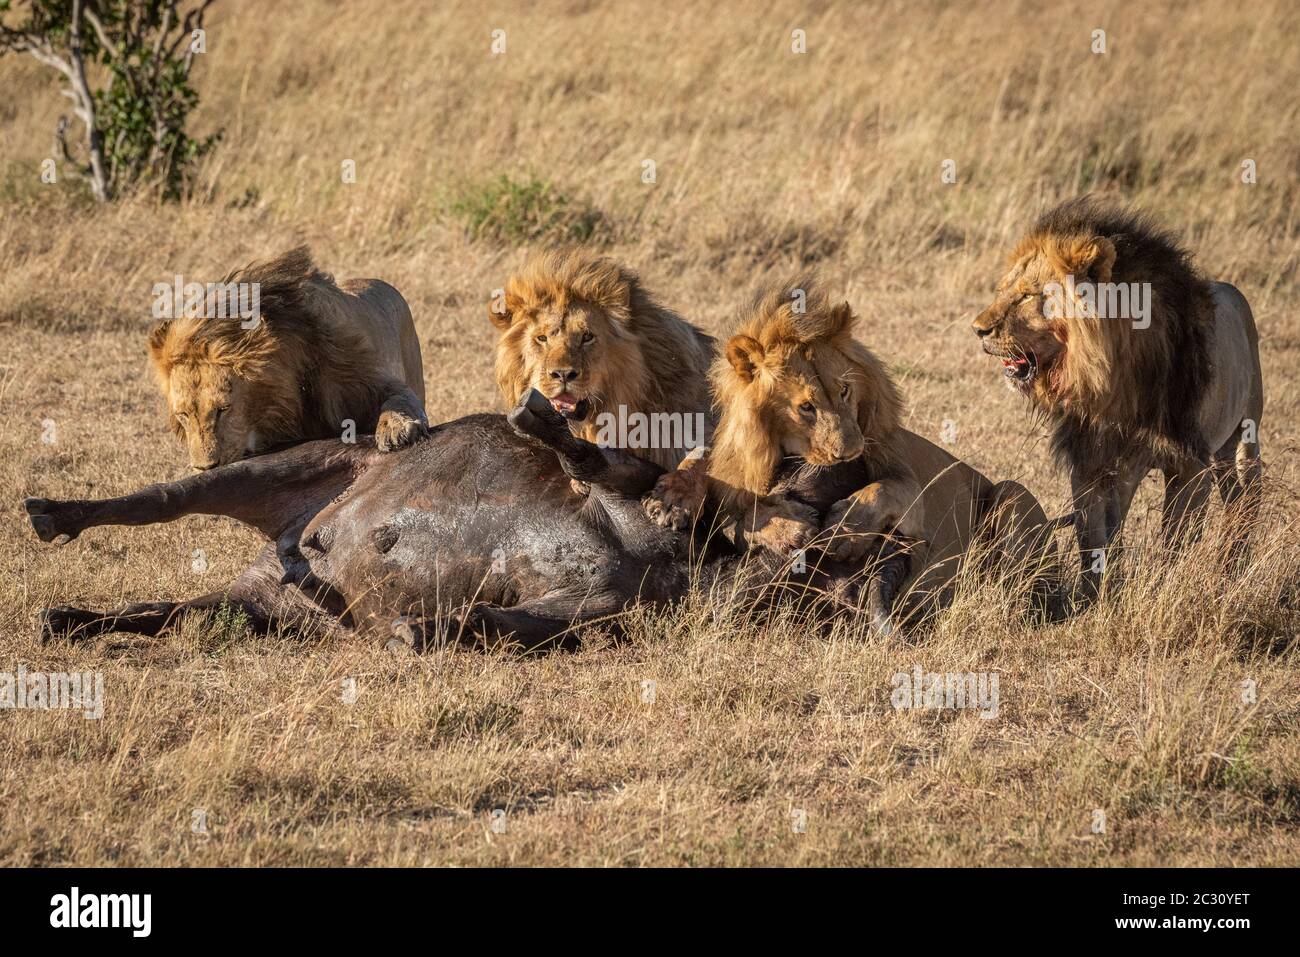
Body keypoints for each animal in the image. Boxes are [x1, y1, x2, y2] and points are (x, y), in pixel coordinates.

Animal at [148, 246, 428, 470]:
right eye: (183, 415)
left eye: (223, 409)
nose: (205, 468)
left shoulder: (363, 378)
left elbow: (398, 398)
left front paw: (397, 429)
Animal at [706, 279, 1065, 619]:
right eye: (806, 407)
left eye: (845, 390)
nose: (851, 451)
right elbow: (744, 518)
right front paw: (789, 527)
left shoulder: (910, 495)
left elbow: (885, 489)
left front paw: (846, 528)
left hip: (1011, 492)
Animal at [972, 197, 1264, 596]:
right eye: (1003, 290)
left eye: (1028, 294)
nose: (977, 329)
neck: (1110, 380)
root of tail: (1233, 290)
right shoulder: (1091, 462)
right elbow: (1094, 537)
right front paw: (1093, 597)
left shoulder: (1188, 465)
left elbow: (1177, 539)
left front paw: (1164, 589)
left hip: (1245, 433)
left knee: (1247, 498)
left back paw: (1235, 564)